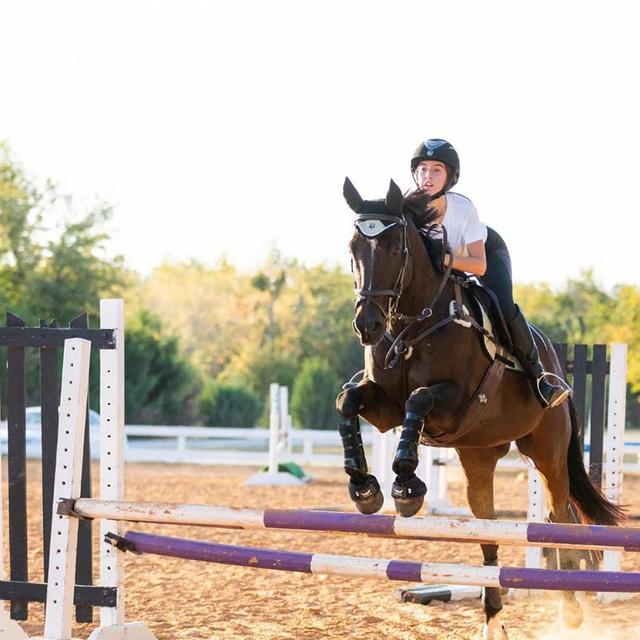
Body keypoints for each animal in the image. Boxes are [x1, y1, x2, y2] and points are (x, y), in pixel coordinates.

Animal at [335, 177, 624, 639]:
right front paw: (365, 488)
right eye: (353, 248)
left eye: (396, 248)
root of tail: (556, 360)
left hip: (547, 450)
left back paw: (570, 609)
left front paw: (406, 488)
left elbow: (418, 399)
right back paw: (492, 619)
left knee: (559, 515)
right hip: (478, 457)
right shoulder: (384, 410)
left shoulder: (450, 401)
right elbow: (348, 400)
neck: (414, 322)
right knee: (488, 535)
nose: (368, 326)